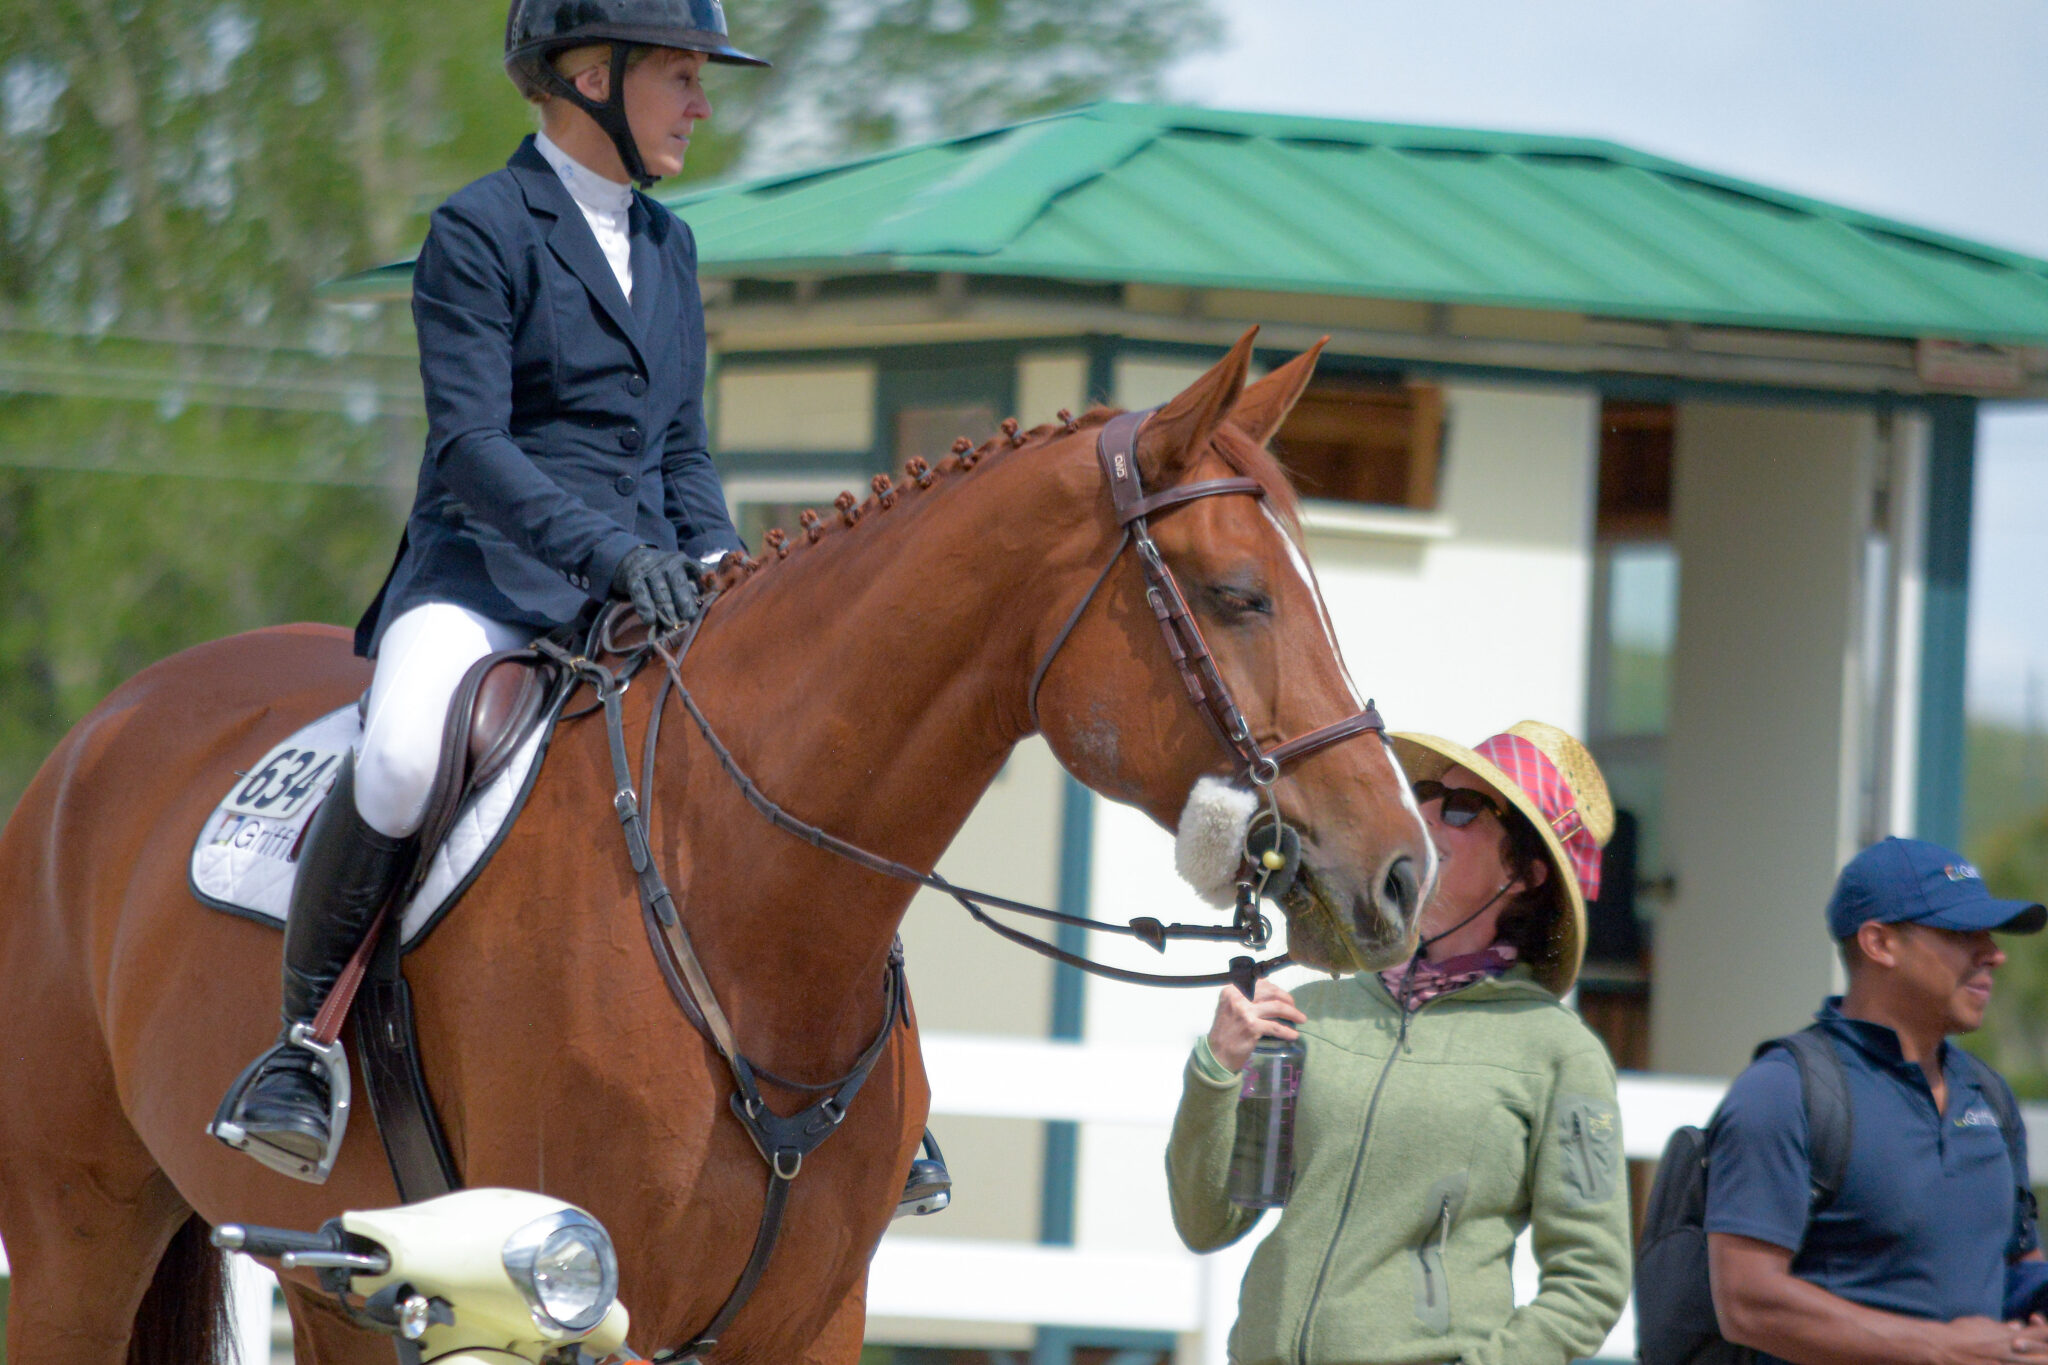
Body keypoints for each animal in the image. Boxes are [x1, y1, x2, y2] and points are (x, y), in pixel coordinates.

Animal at [0, 330, 1432, 1364]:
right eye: (1235, 598)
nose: (1401, 870)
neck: (742, 903)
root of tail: (106, 727)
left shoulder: (807, 1321)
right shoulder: (562, 1298)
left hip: (336, 1281)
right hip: (78, 1238)